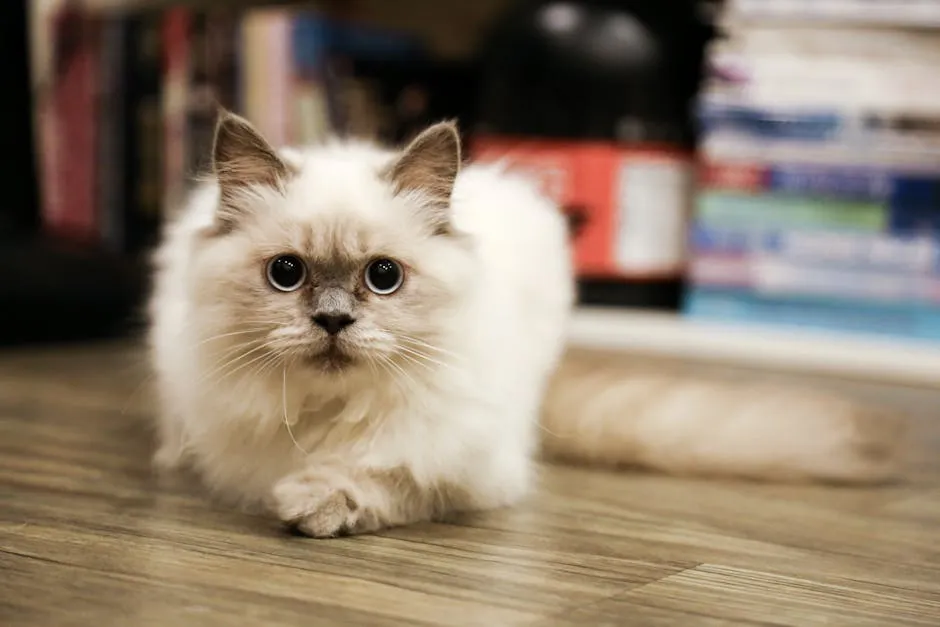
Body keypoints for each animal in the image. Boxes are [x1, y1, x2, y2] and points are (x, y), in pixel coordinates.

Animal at [151, 110, 908, 536]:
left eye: (384, 277)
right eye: (287, 273)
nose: (333, 320)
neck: (331, 413)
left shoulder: (469, 463)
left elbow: (390, 474)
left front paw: (316, 502)